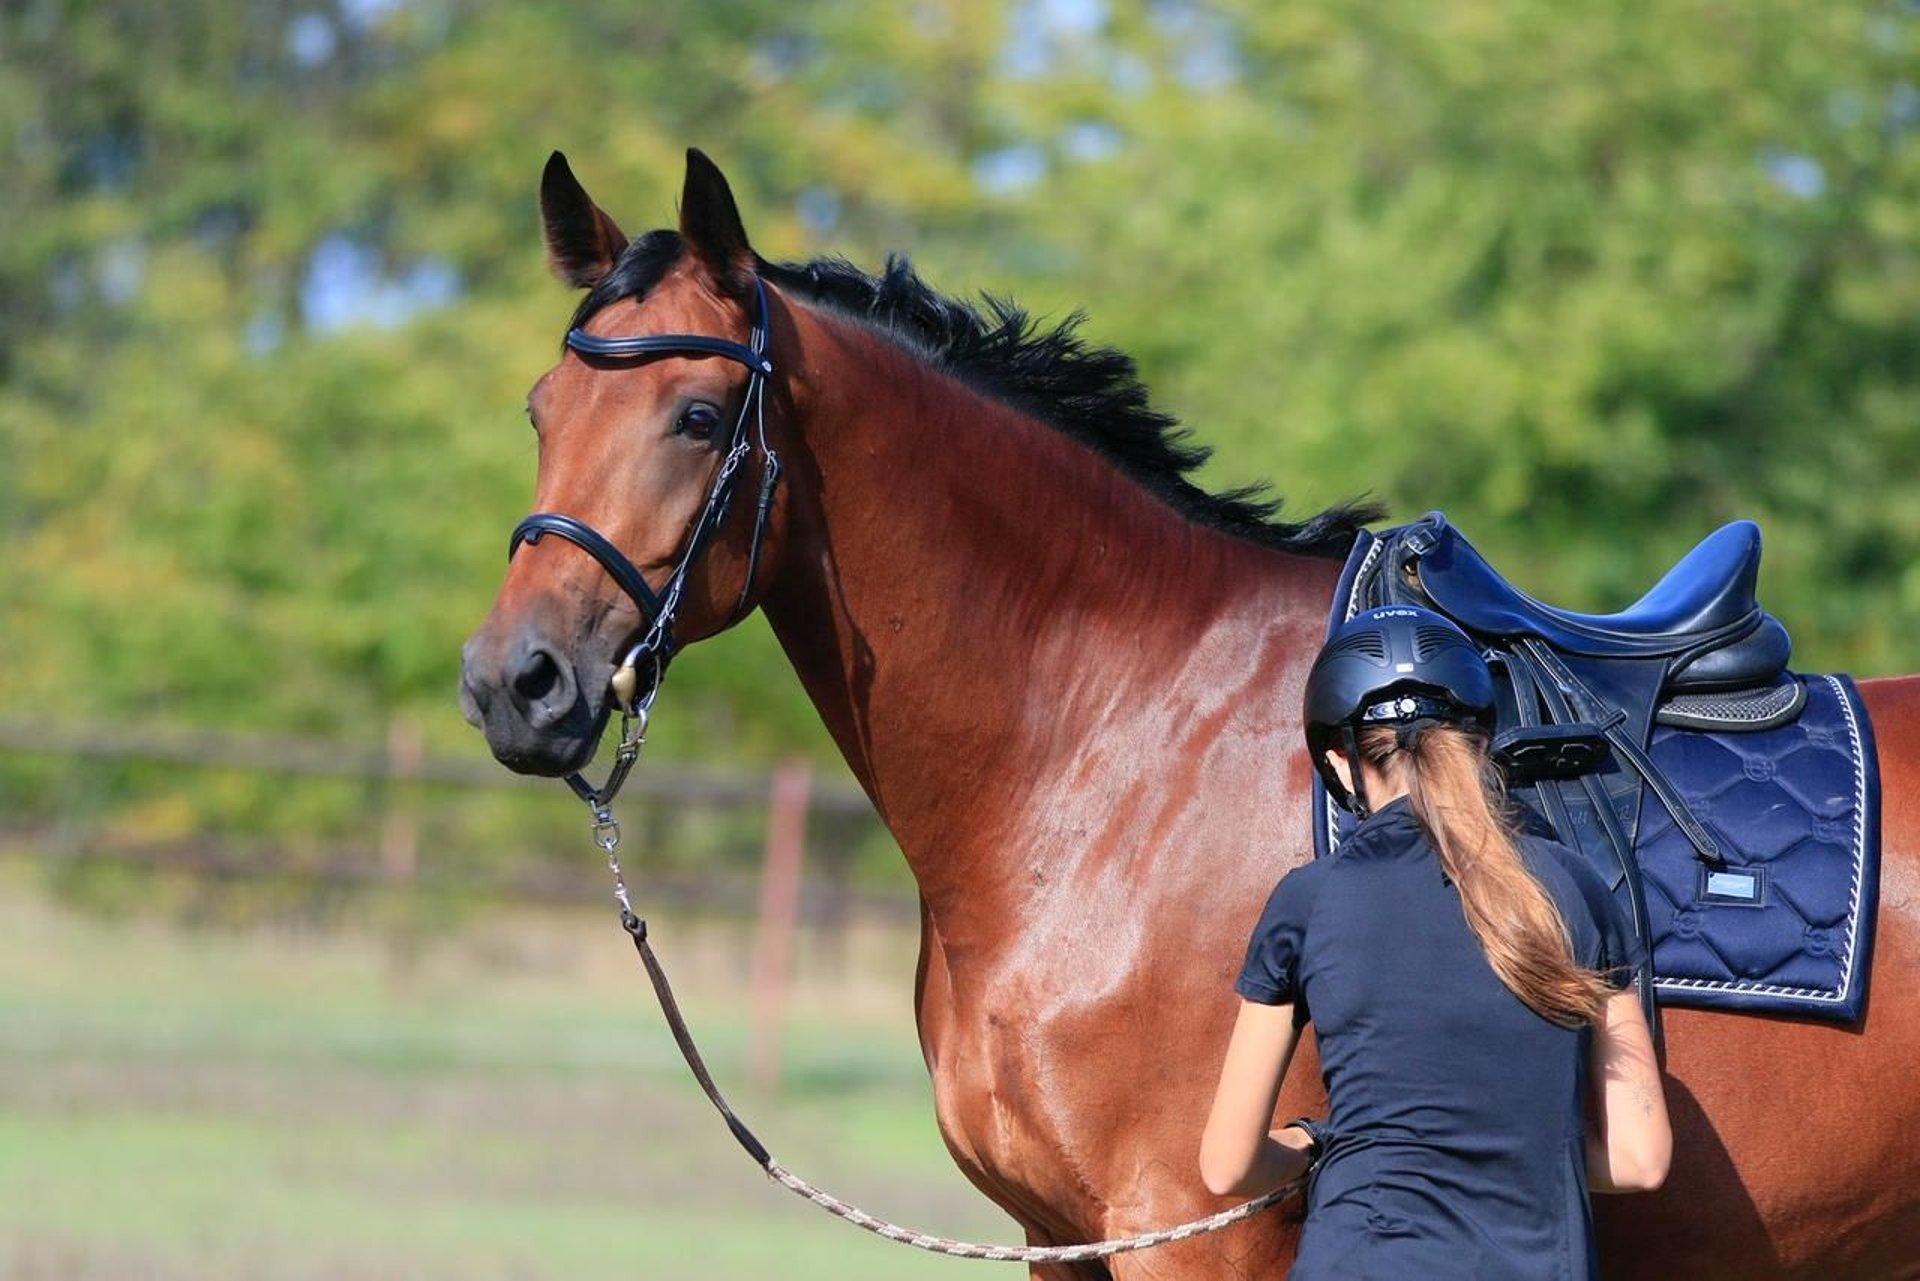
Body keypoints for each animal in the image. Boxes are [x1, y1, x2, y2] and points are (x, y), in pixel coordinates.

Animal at [459, 149, 1920, 1279]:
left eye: (701, 415)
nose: (513, 682)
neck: (1117, 750)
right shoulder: (1061, 1237)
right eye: (540, 409)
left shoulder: (1189, 1226)